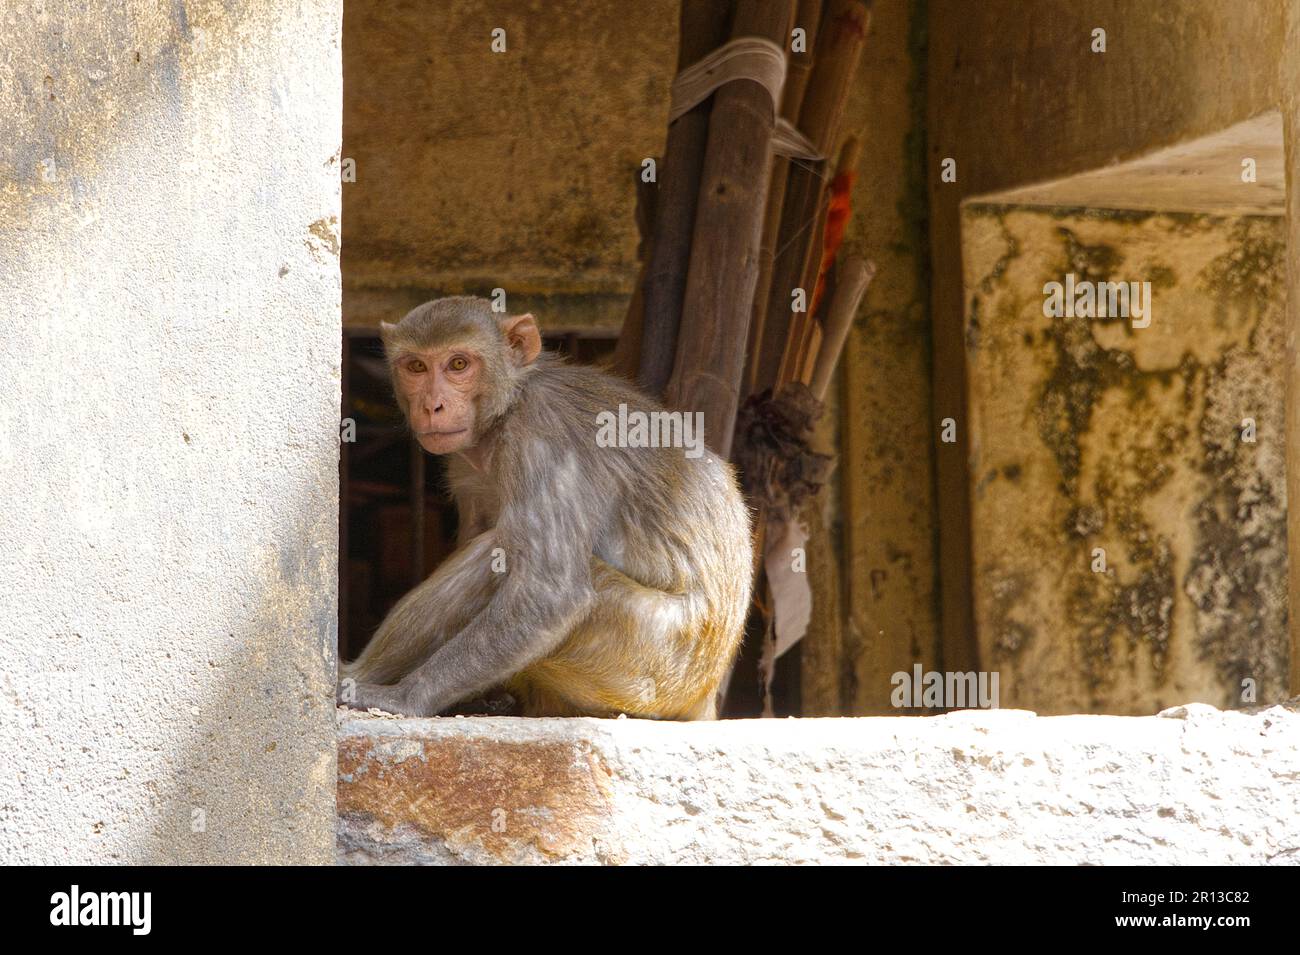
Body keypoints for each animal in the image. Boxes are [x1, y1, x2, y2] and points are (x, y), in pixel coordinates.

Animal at [338, 296, 753, 720]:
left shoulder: (543, 436)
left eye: (458, 364)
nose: (432, 406)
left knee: (498, 552)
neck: (509, 406)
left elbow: (550, 592)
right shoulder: (463, 466)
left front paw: (407, 698)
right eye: (417, 367)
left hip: (646, 660)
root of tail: (704, 695)